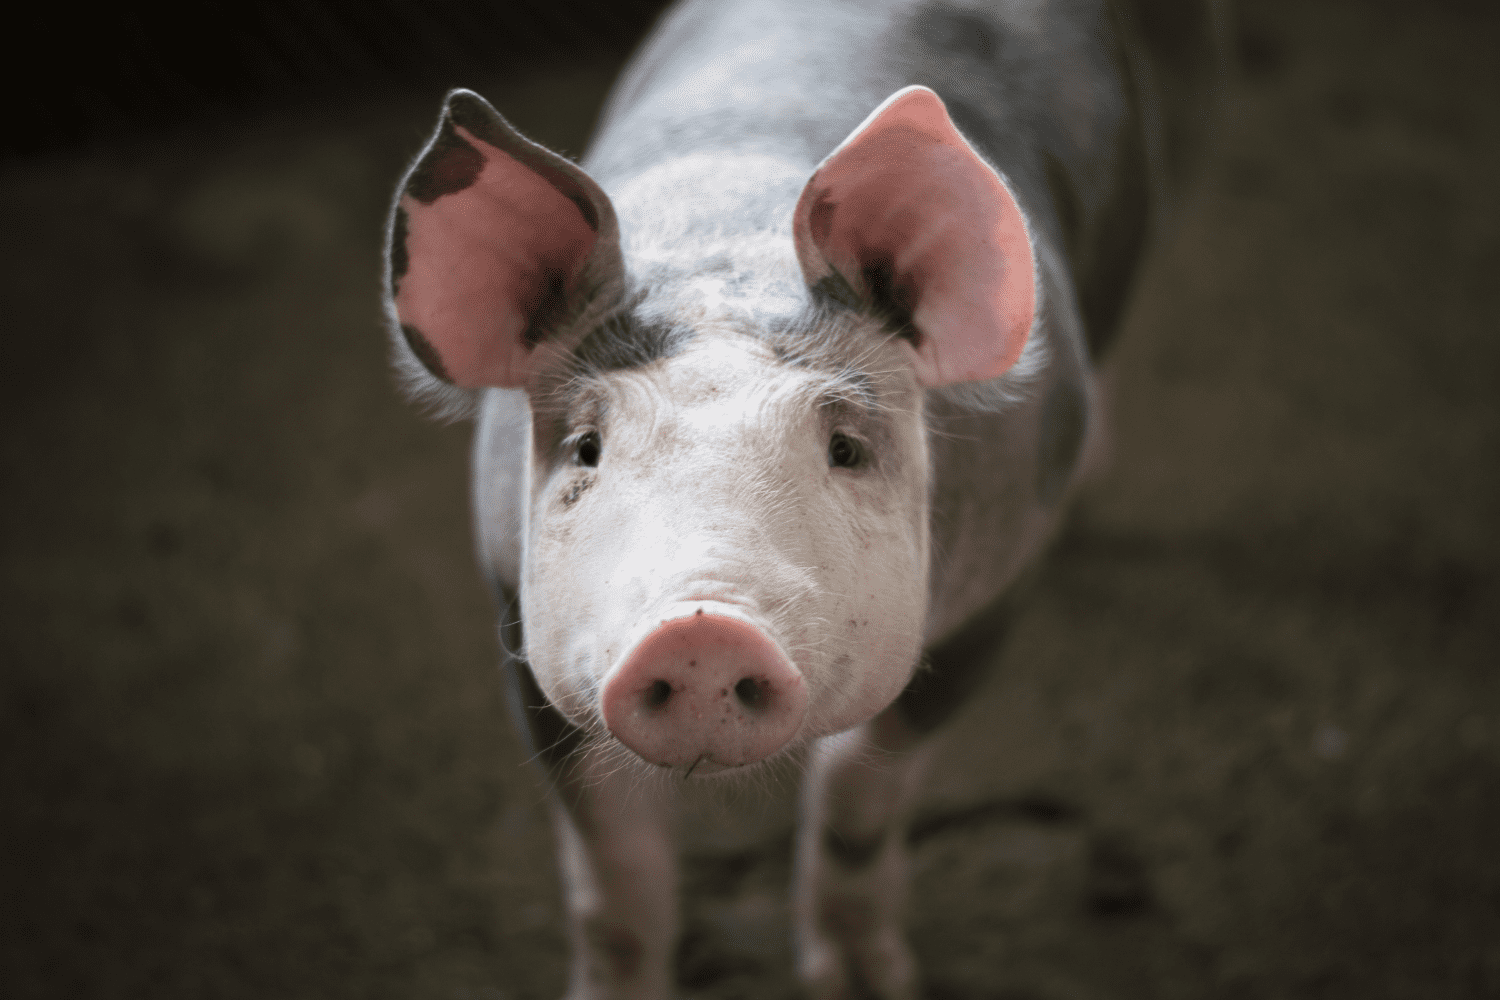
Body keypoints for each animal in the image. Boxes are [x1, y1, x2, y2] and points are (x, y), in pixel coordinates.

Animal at [383, 0, 1167, 995]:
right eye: (587, 448)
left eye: (844, 448)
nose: (701, 628)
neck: (729, 241)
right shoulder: (518, 614)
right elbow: (613, 876)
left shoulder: (998, 586)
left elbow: (860, 806)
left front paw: (870, 982)